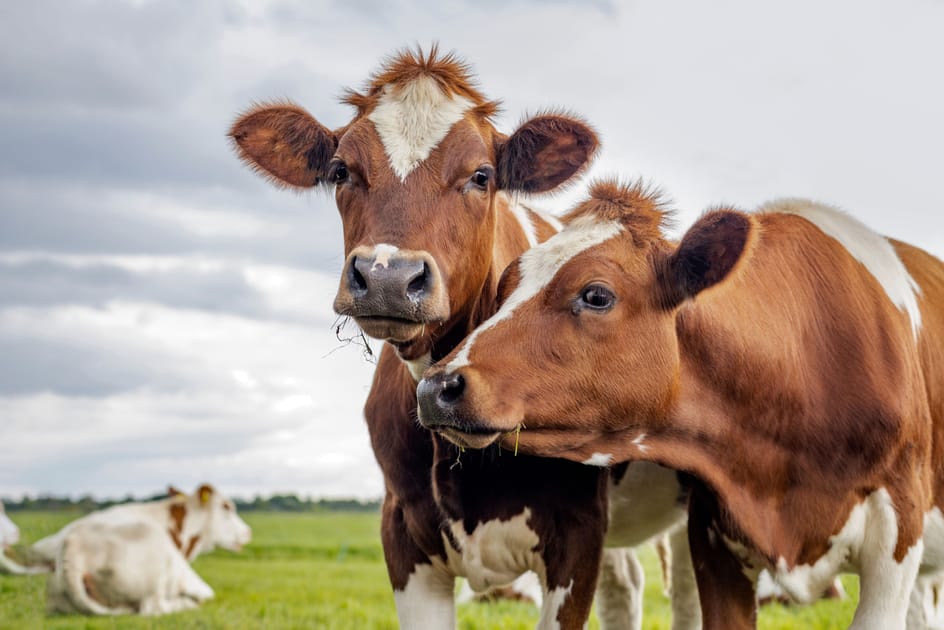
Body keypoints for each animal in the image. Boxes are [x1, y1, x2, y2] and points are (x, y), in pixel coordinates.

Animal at [44, 484, 250, 616]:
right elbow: (207, 593)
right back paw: (186, 604)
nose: (248, 532)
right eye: (226, 506)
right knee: (155, 608)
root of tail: (72, 547)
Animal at [229, 47, 698, 629]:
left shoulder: (577, 534)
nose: (388, 276)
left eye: (481, 175)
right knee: (626, 584)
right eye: (341, 171)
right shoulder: (403, 535)